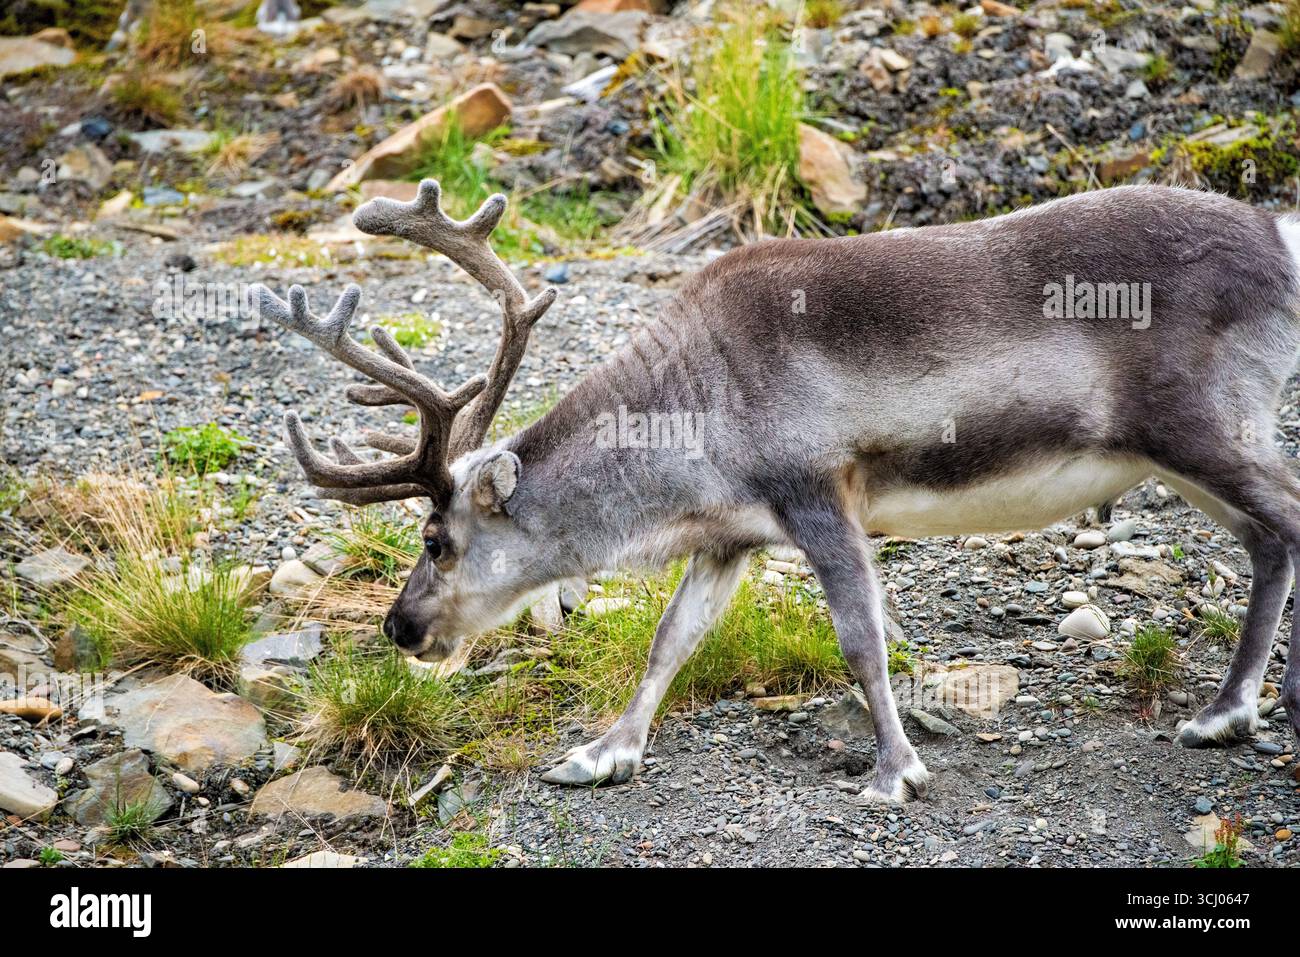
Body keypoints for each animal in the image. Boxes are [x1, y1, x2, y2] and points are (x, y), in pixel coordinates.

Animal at [251, 180, 1300, 803]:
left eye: (436, 539)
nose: (399, 627)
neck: (691, 416)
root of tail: (1280, 236)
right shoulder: (731, 534)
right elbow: (670, 640)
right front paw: (604, 751)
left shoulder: (820, 498)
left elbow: (860, 641)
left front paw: (896, 770)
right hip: (1176, 456)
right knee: (1266, 539)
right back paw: (1227, 709)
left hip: (1202, 425)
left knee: (1284, 518)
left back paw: (1233, 710)